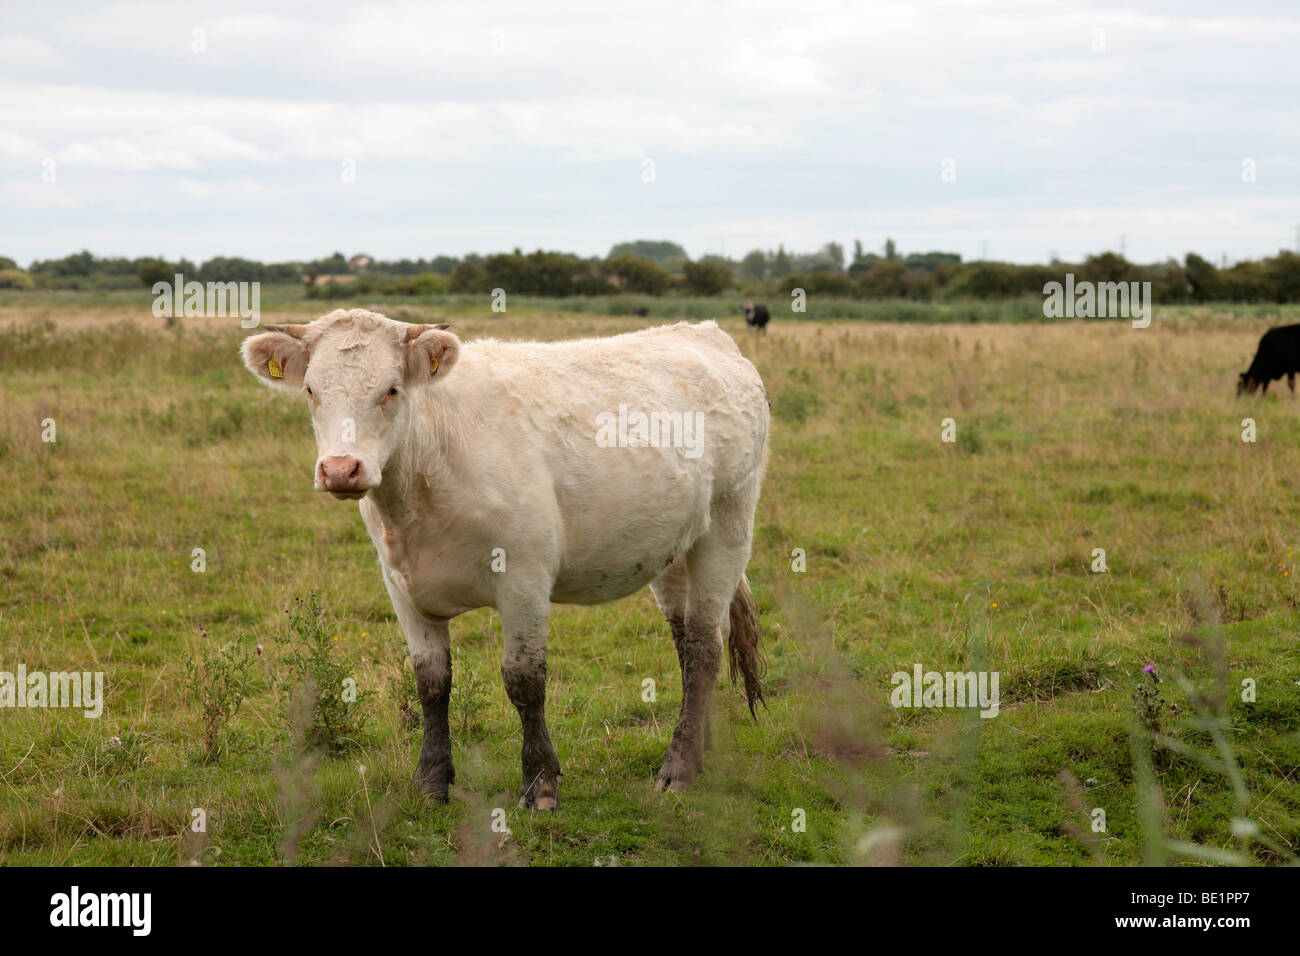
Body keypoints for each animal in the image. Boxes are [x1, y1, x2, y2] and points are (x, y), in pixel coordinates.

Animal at [241, 308, 770, 809]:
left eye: (390, 390)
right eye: (312, 390)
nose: (340, 470)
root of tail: (702, 331)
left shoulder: (524, 576)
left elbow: (524, 680)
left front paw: (539, 784)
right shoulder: (400, 585)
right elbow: (431, 682)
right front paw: (431, 782)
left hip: (728, 524)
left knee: (703, 646)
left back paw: (678, 770)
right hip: (673, 549)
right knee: (689, 643)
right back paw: (697, 748)